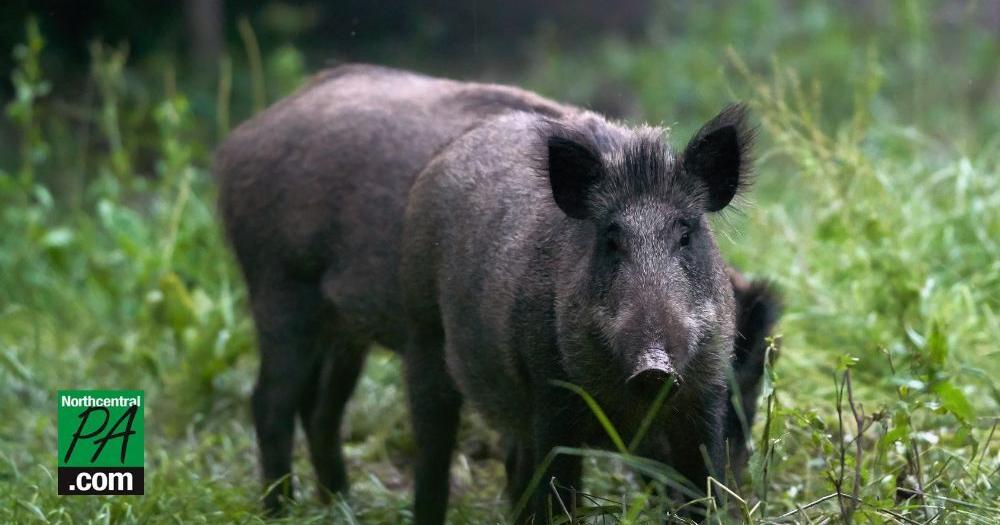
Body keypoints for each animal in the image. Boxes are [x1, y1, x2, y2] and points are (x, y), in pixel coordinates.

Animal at [214, 64, 780, 522]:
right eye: (610, 241)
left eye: (687, 235)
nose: (655, 367)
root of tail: (241, 137)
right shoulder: (551, 402)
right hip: (287, 292)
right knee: (272, 402)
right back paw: (279, 512)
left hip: (344, 330)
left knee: (320, 410)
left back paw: (340, 506)